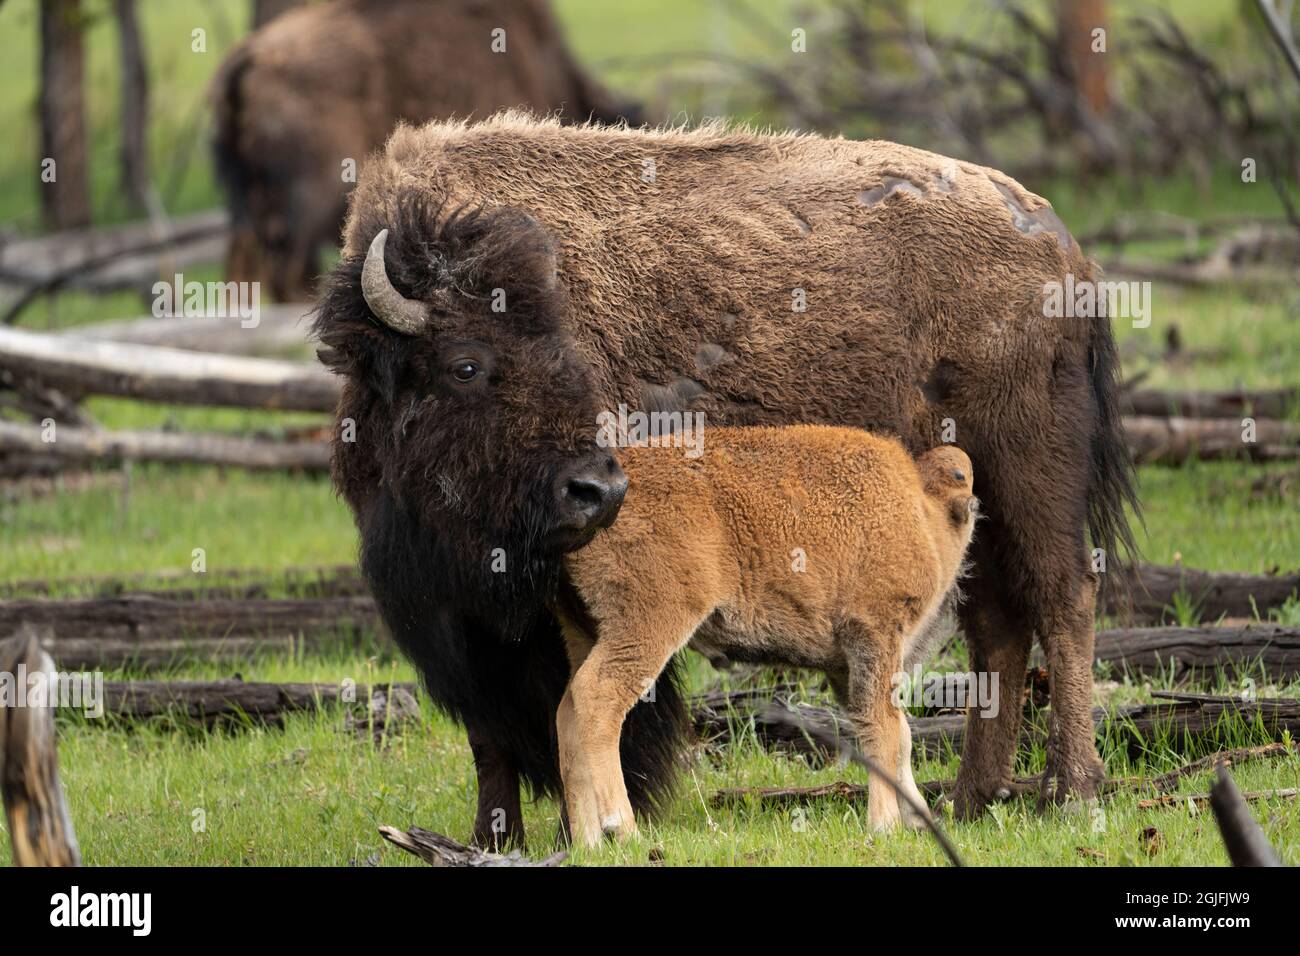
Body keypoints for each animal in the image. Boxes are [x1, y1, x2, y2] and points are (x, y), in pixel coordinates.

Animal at [311, 112, 1139, 849]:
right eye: (466, 364)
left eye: (573, 362)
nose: (597, 494)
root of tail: (1067, 252)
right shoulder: (461, 618)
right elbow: (492, 736)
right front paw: (497, 835)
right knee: (998, 624)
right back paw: (971, 800)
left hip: (1031, 475)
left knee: (1062, 601)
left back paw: (1071, 793)